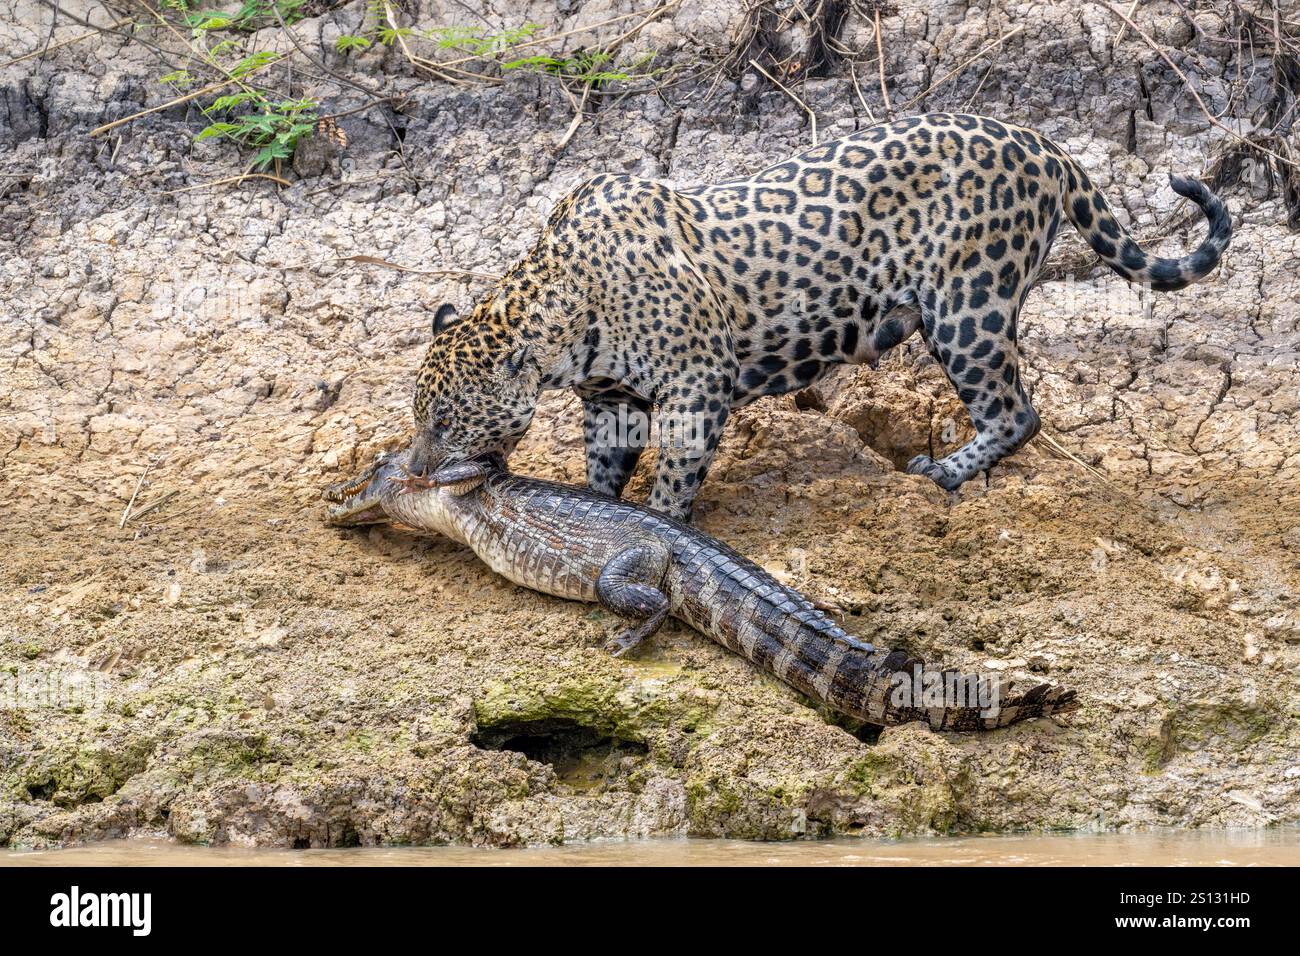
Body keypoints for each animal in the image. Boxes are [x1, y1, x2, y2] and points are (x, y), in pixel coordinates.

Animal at [407, 112, 1231, 521]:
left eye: (445, 423)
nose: (413, 469)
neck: (559, 314)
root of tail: (1044, 143)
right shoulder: (612, 400)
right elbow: (603, 467)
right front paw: (587, 513)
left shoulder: (696, 381)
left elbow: (675, 474)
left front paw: (665, 525)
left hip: (968, 306)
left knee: (1015, 411)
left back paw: (943, 474)